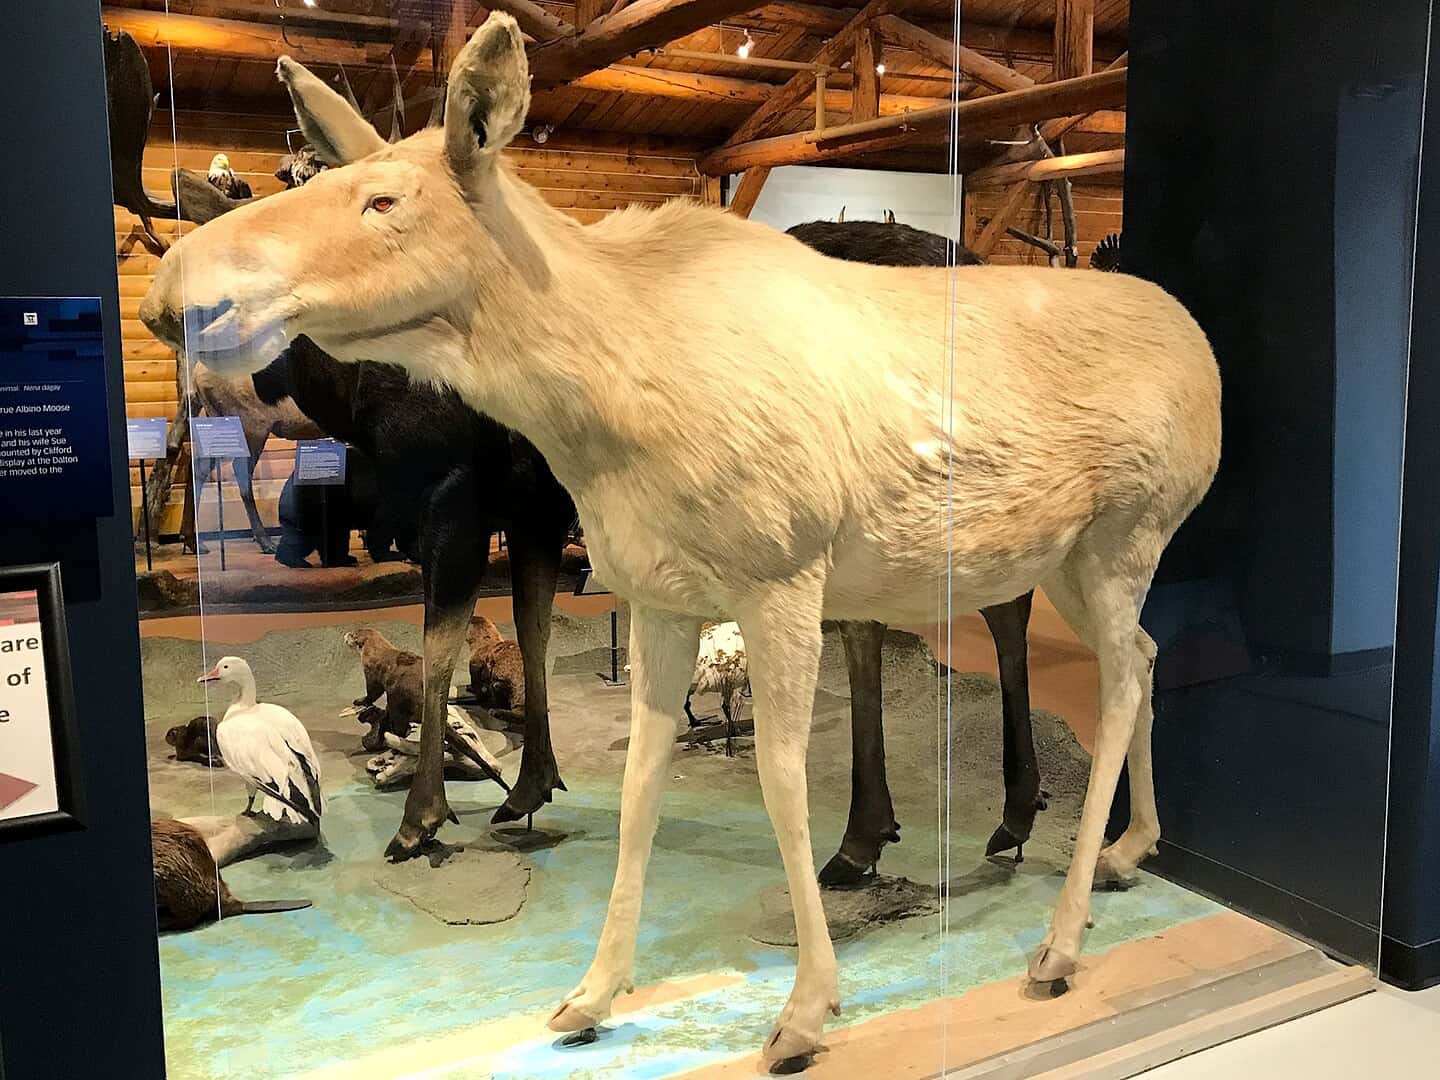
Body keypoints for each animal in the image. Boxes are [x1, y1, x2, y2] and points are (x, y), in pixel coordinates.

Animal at [140, 14, 1222, 1069]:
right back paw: (1127, 851)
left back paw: (1059, 939)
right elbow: (634, 785)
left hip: (1122, 537)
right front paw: (588, 993)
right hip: (1068, 559)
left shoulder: (779, 577)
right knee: (1145, 655)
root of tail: (1201, 353)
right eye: (316, 181)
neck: (607, 402)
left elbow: (781, 782)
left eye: (383, 199)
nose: (172, 293)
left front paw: (805, 1010)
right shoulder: (659, 594)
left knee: (1117, 679)